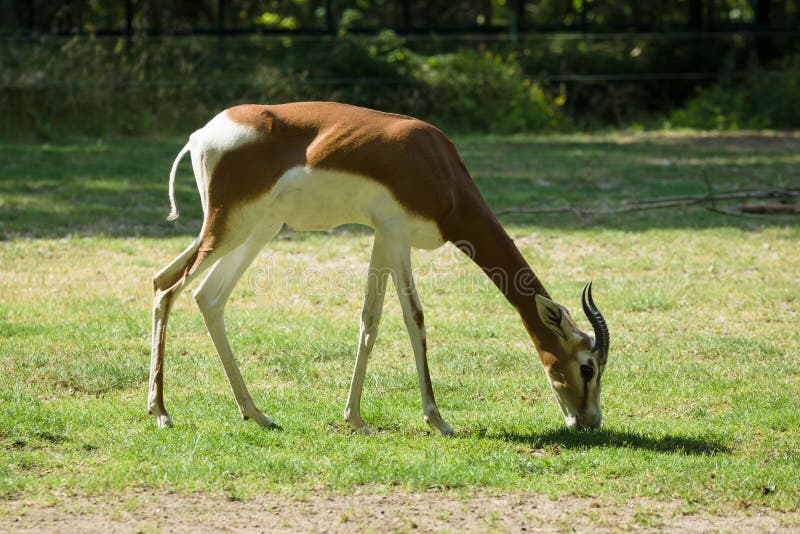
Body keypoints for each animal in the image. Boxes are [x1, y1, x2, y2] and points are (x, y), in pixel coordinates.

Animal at [149, 102, 609, 435]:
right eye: (587, 366)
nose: (589, 421)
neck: (440, 169)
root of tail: (202, 134)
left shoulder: (381, 236)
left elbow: (370, 319)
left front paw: (354, 418)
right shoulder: (397, 232)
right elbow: (414, 318)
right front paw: (438, 420)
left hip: (256, 227)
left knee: (198, 292)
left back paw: (257, 414)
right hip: (229, 226)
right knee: (169, 288)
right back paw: (162, 412)